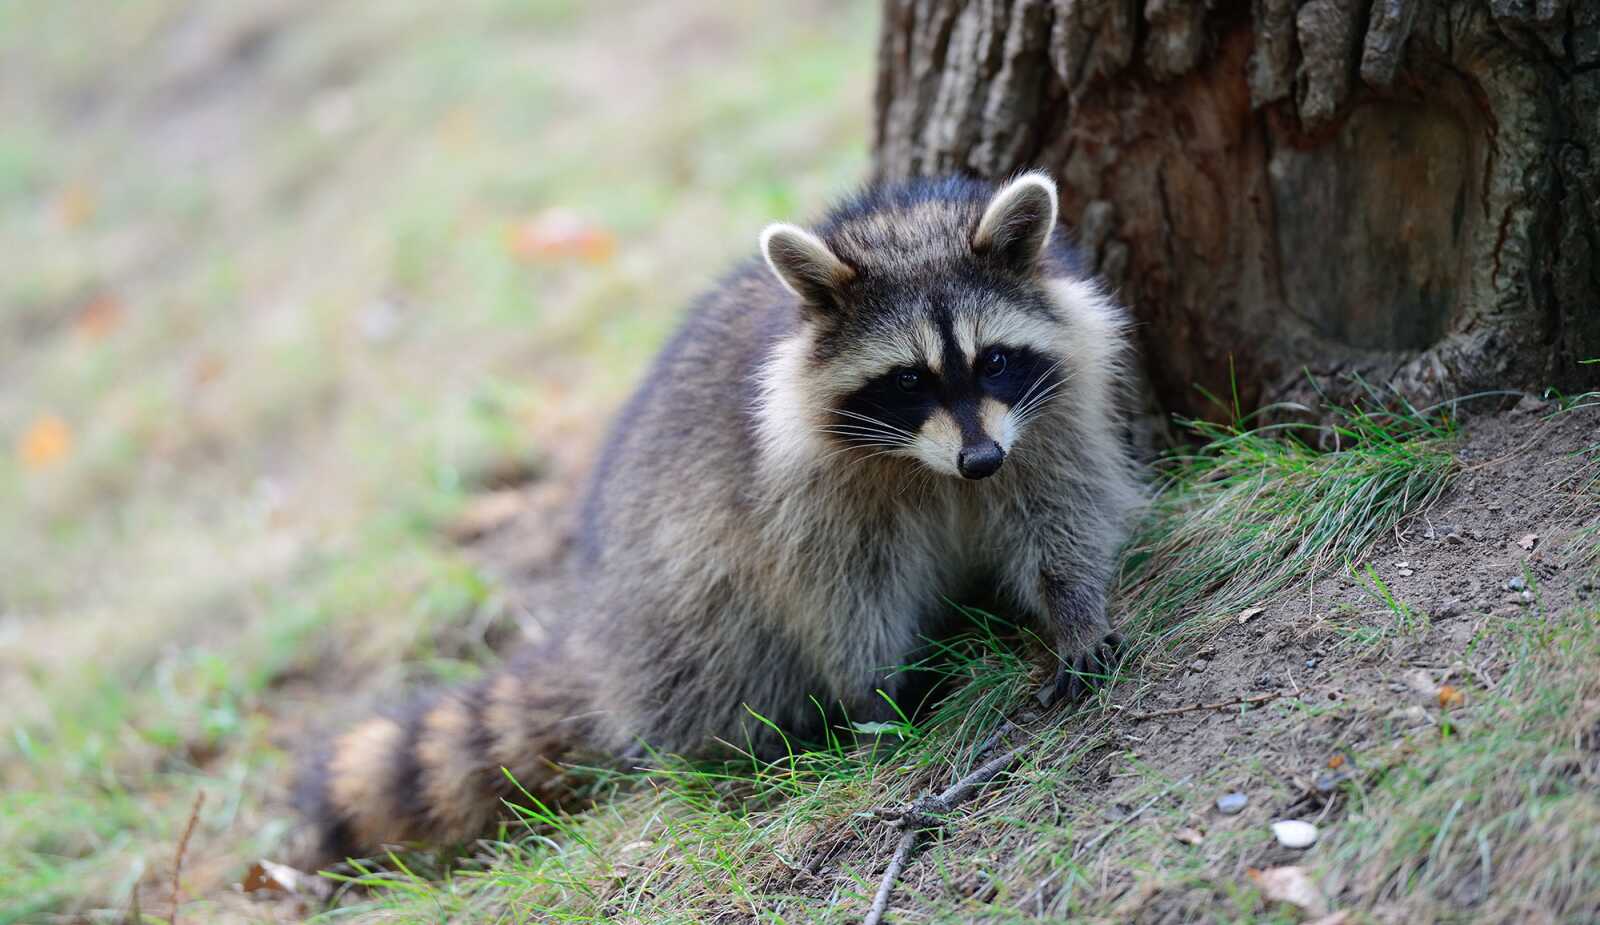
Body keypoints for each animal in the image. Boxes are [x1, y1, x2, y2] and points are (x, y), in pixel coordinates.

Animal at [297, 171, 1143, 863]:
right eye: (908, 379)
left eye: (993, 359)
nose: (980, 461)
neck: (928, 464)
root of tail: (598, 636)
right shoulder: (804, 493)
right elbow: (841, 591)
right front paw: (875, 689)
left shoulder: (1048, 419)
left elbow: (1062, 514)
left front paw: (1073, 608)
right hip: (677, 599)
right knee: (722, 645)